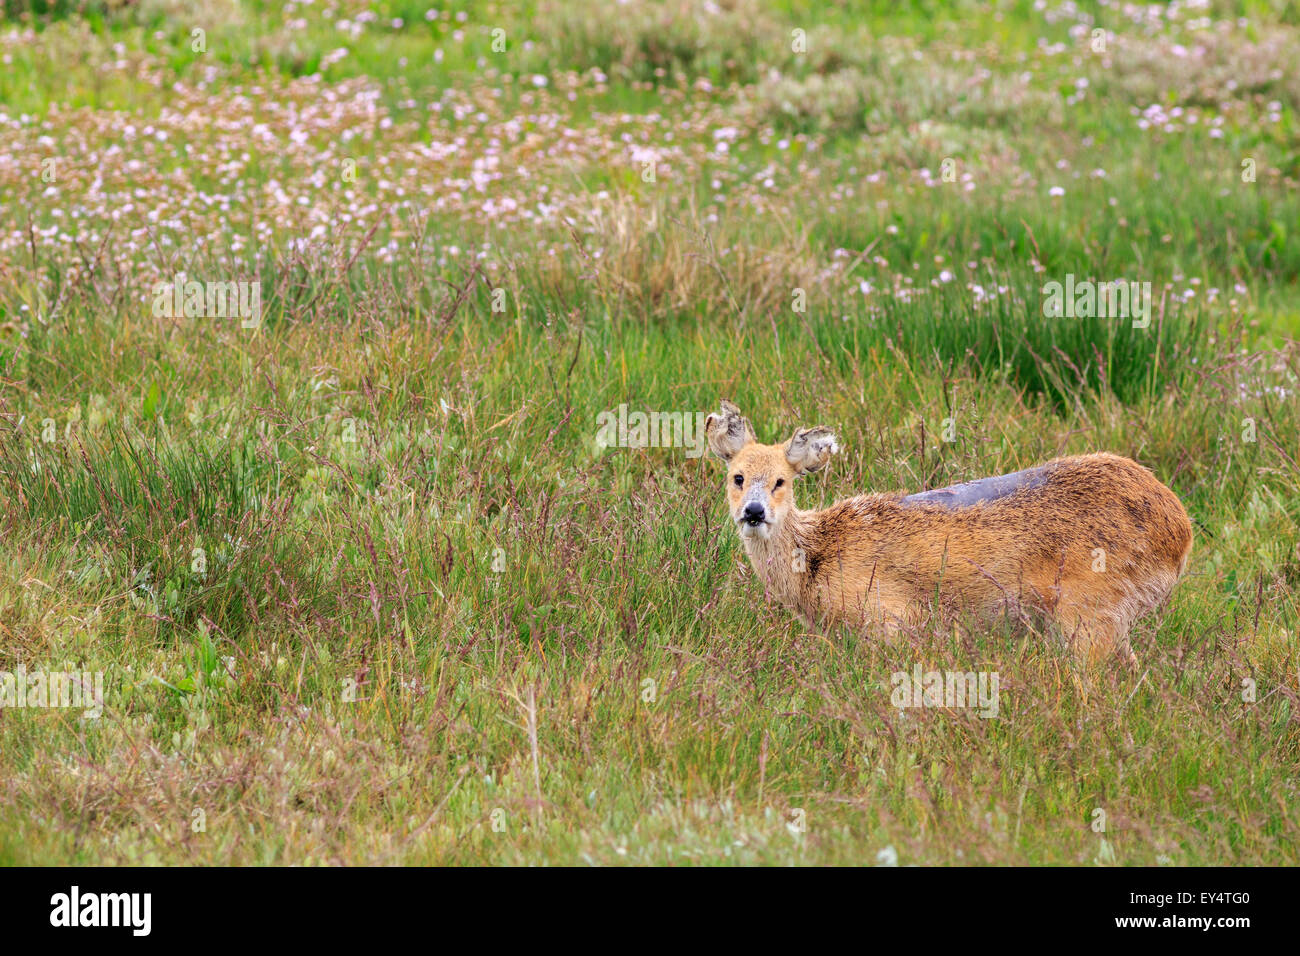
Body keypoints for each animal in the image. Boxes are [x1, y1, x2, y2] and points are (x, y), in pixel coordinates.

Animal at [703, 400, 1193, 663]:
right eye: (737, 477)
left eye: (781, 481)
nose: (753, 512)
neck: (818, 553)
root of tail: (1180, 531)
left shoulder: (893, 621)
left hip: (1090, 610)